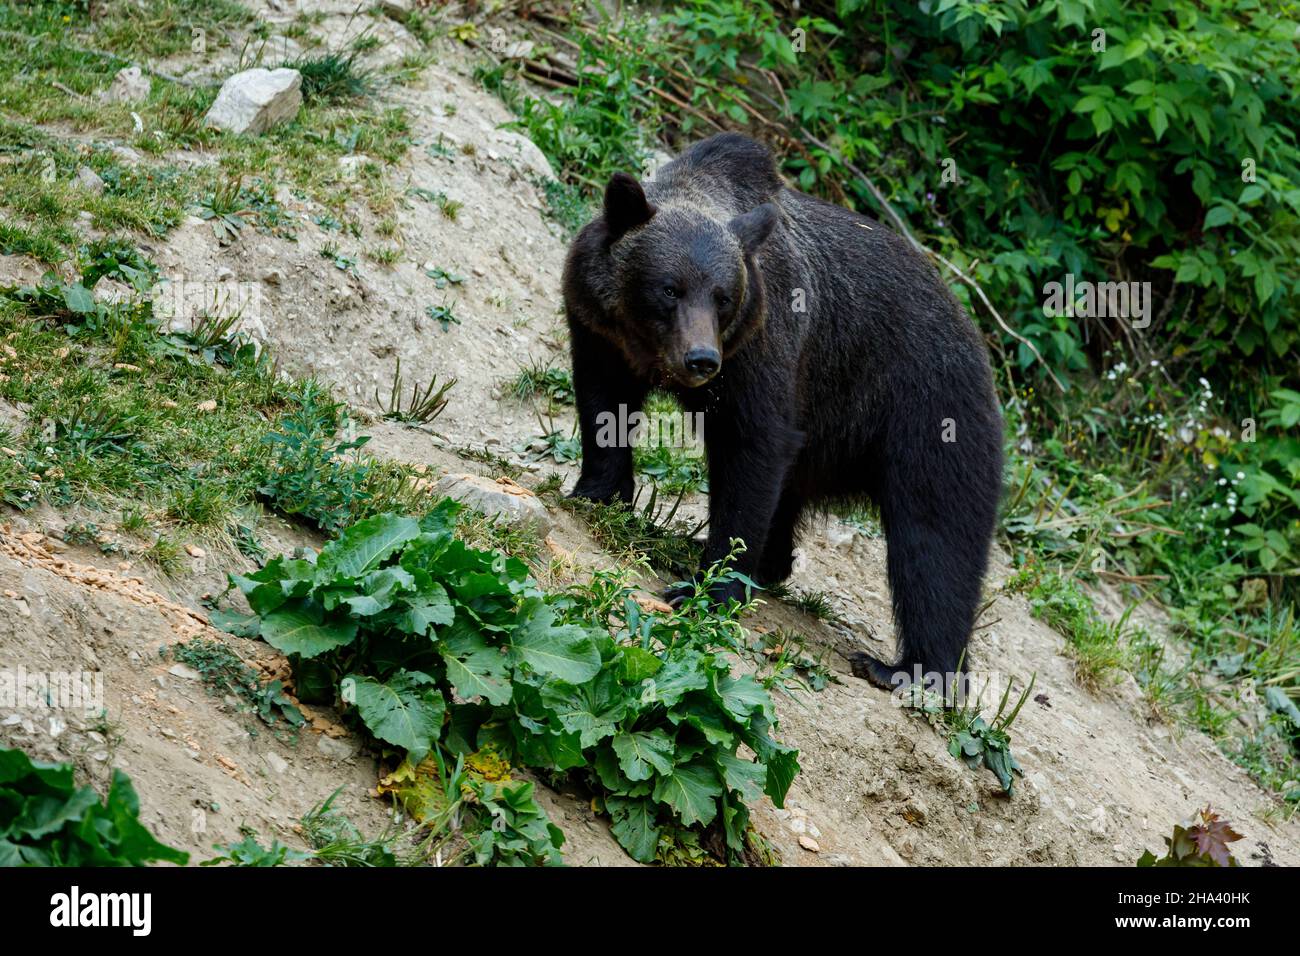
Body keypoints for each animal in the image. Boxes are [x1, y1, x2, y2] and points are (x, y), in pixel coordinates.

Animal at [561, 132, 1004, 689]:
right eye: (669, 288)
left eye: (722, 297)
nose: (701, 359)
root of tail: (980, 344)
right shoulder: (599, 330)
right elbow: (604, 407)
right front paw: (596, 493)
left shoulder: (763, 351)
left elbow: (753, 451)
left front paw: (709, 588)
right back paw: (770, 565)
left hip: (929, 413)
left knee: (936, 540)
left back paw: (905, 667)